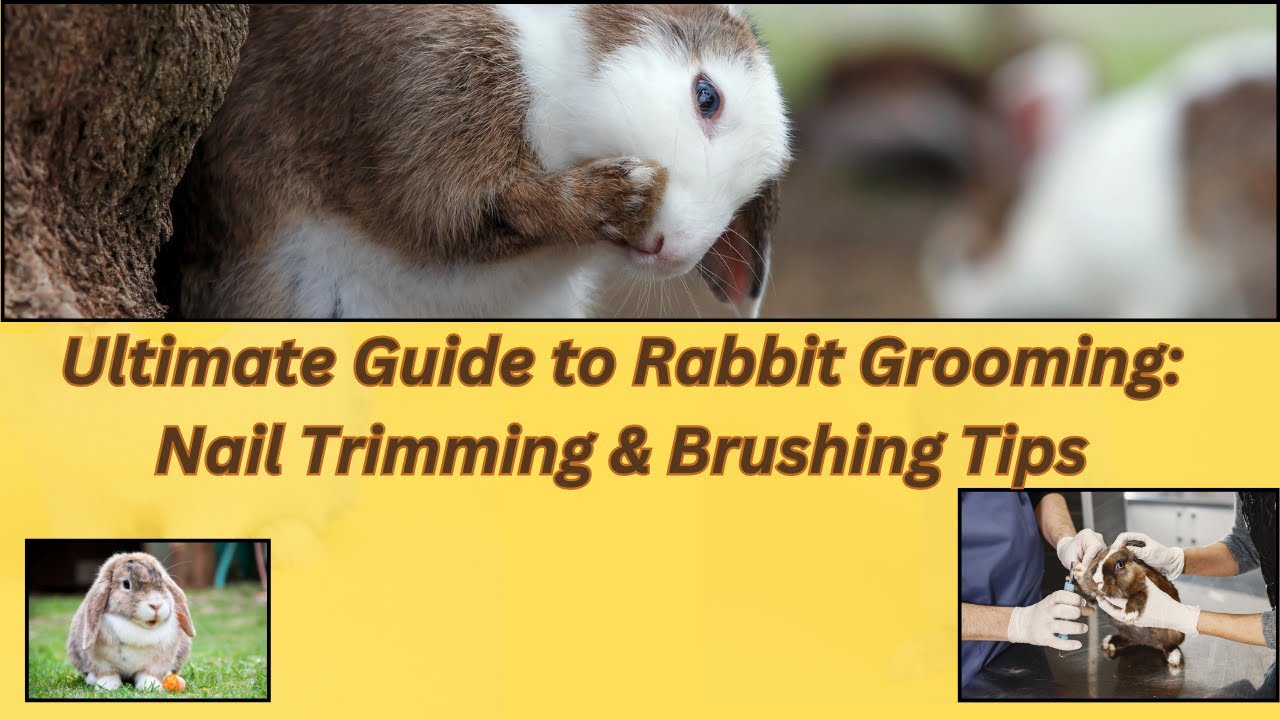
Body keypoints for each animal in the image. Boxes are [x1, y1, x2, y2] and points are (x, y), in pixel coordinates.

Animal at [66, 552, 196, 691]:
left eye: (162, 581)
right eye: (126, 584)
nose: (156, 605)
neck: (134, 625)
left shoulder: (157, 663)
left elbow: (149, 674)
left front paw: (149, 686)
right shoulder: (101, 662)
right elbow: (108, 674)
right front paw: (108, 687)